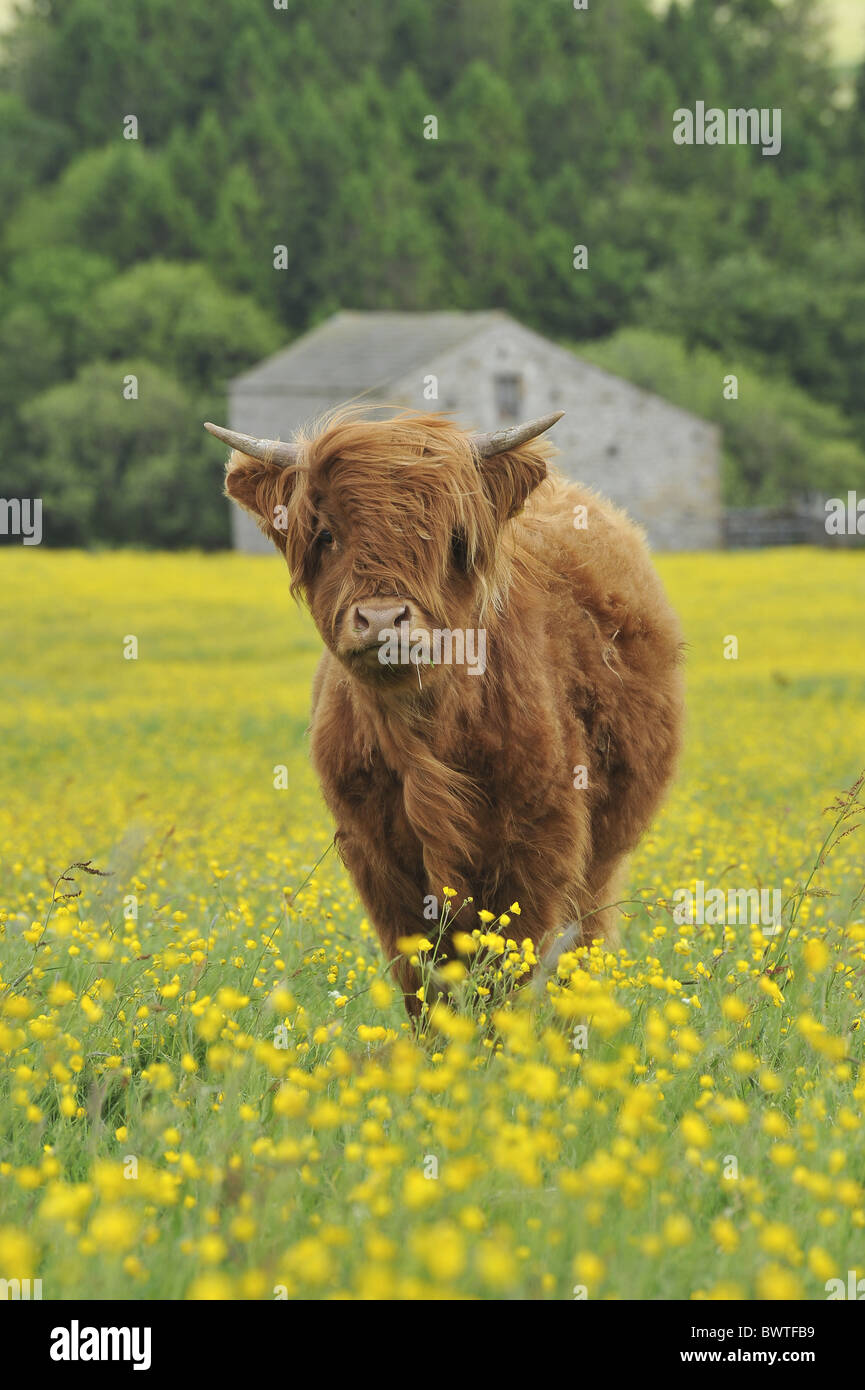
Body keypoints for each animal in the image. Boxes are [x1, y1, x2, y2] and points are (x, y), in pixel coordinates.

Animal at [205, 409, 684, 1016]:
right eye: (327, 534)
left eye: (450, 537)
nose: (382, 618)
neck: (424, 737)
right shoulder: (377, 859)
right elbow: (423, 979)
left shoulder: (539, 849)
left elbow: (509, 969)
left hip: (601, 860)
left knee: (584, 937)